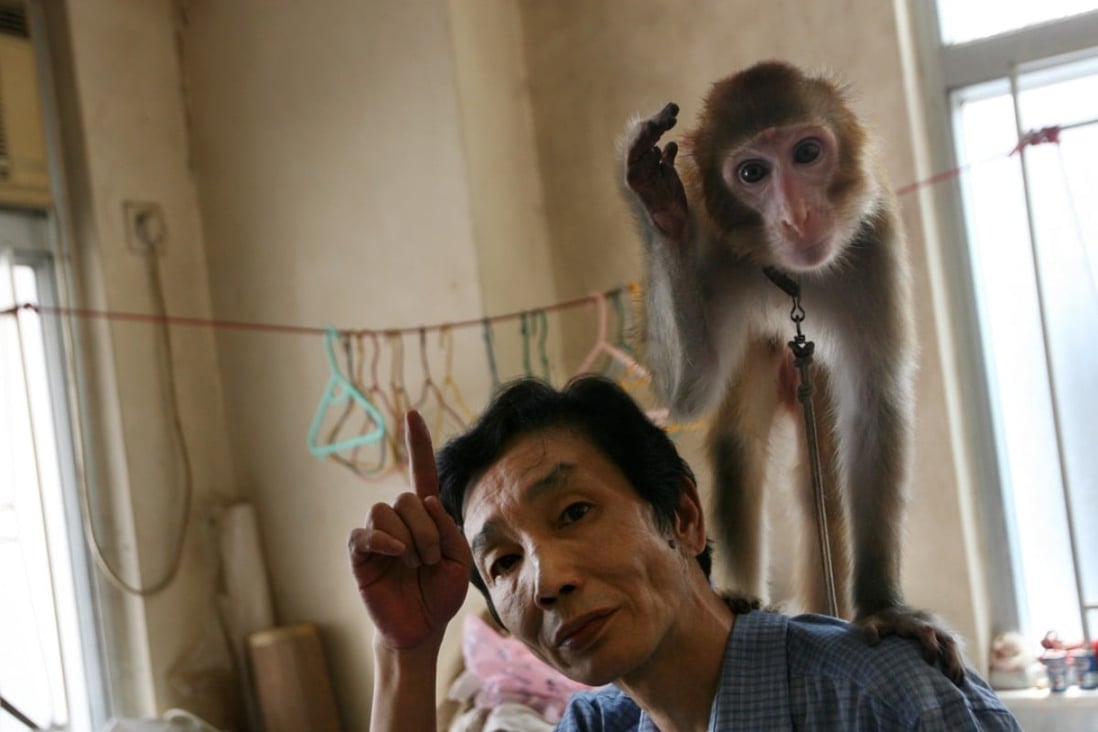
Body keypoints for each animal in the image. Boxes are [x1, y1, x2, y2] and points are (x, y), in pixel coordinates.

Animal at [619, 60, 965, 682]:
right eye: (752, 172)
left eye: (806, 153)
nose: (797, 215)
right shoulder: (714, 253)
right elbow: (688, 394)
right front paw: (658, 203)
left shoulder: (874, 239)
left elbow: (875, 401)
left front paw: (884, 608)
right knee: (739, 441)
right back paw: (741, 593)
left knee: (819, 476)